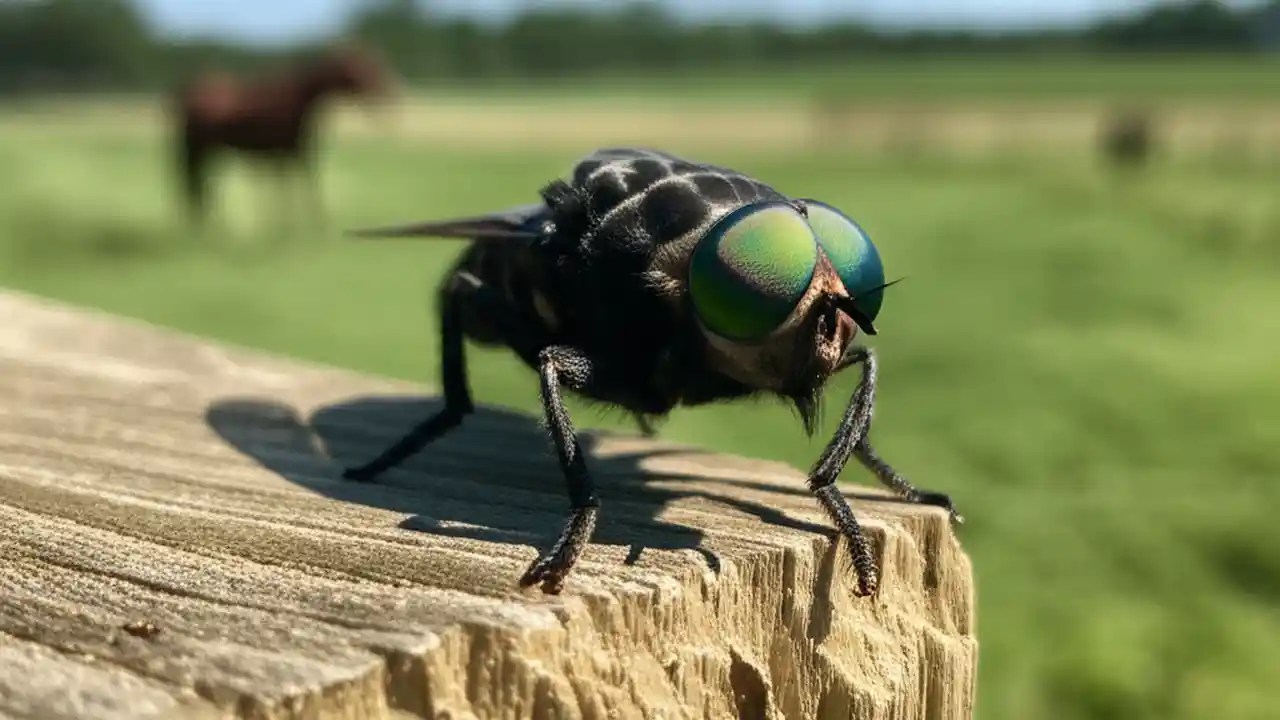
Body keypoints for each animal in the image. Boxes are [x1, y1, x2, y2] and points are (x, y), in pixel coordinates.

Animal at [174, 46, 392, 226]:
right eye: (360, 66)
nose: (384, 89)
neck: (300, 100)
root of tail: (189, 91)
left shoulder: (296, 152)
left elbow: (304, 182)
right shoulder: (283, 152)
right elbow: (289, 186)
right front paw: (292, 226)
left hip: (208, 150)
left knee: (199, 183)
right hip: (197, 148)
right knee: (194, 182)